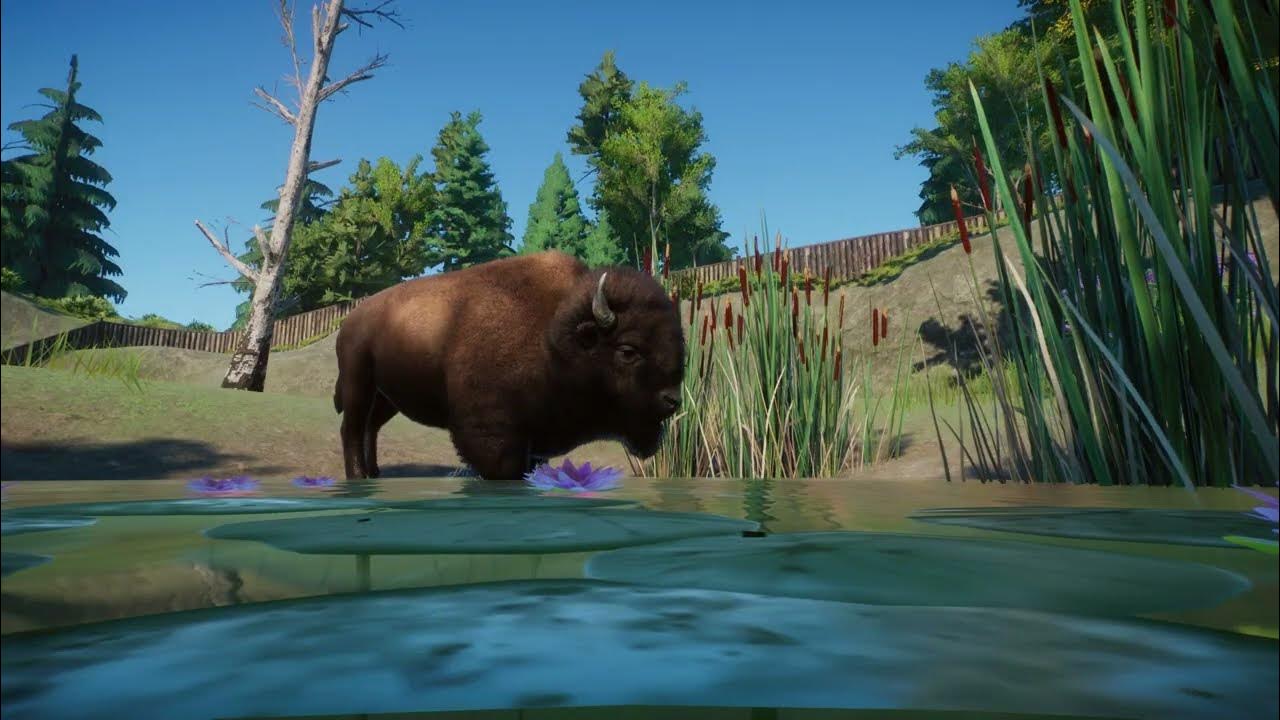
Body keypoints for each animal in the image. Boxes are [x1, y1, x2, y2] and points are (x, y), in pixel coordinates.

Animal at [333, 250, 686, 480]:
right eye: (628, 350)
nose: (672, 400)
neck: (550, 338)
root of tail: (351, 320)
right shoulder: (494, 436)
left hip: (386, 397)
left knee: (371, 427)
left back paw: (375, 473)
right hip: (358, 382)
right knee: (352, 428)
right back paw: (358, 477)